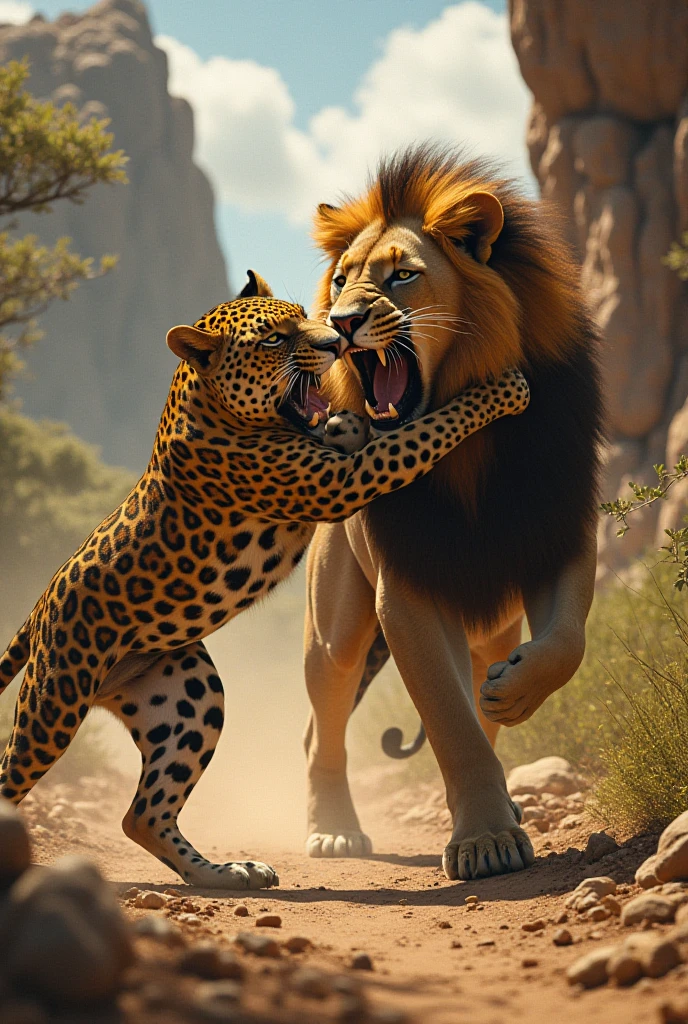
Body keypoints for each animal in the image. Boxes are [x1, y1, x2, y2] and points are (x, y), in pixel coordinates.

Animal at [302, 144, 604, 880]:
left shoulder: (560, 534)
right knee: (323, 730)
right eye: (340, 281)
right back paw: (333, 829)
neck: (466, 450)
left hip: (488, 627)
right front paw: (486, 842)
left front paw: (513, 692)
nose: (339, 324)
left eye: (403, 276)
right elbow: (450, 722)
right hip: (337, 633)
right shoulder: (405, 589)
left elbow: (566, 644)